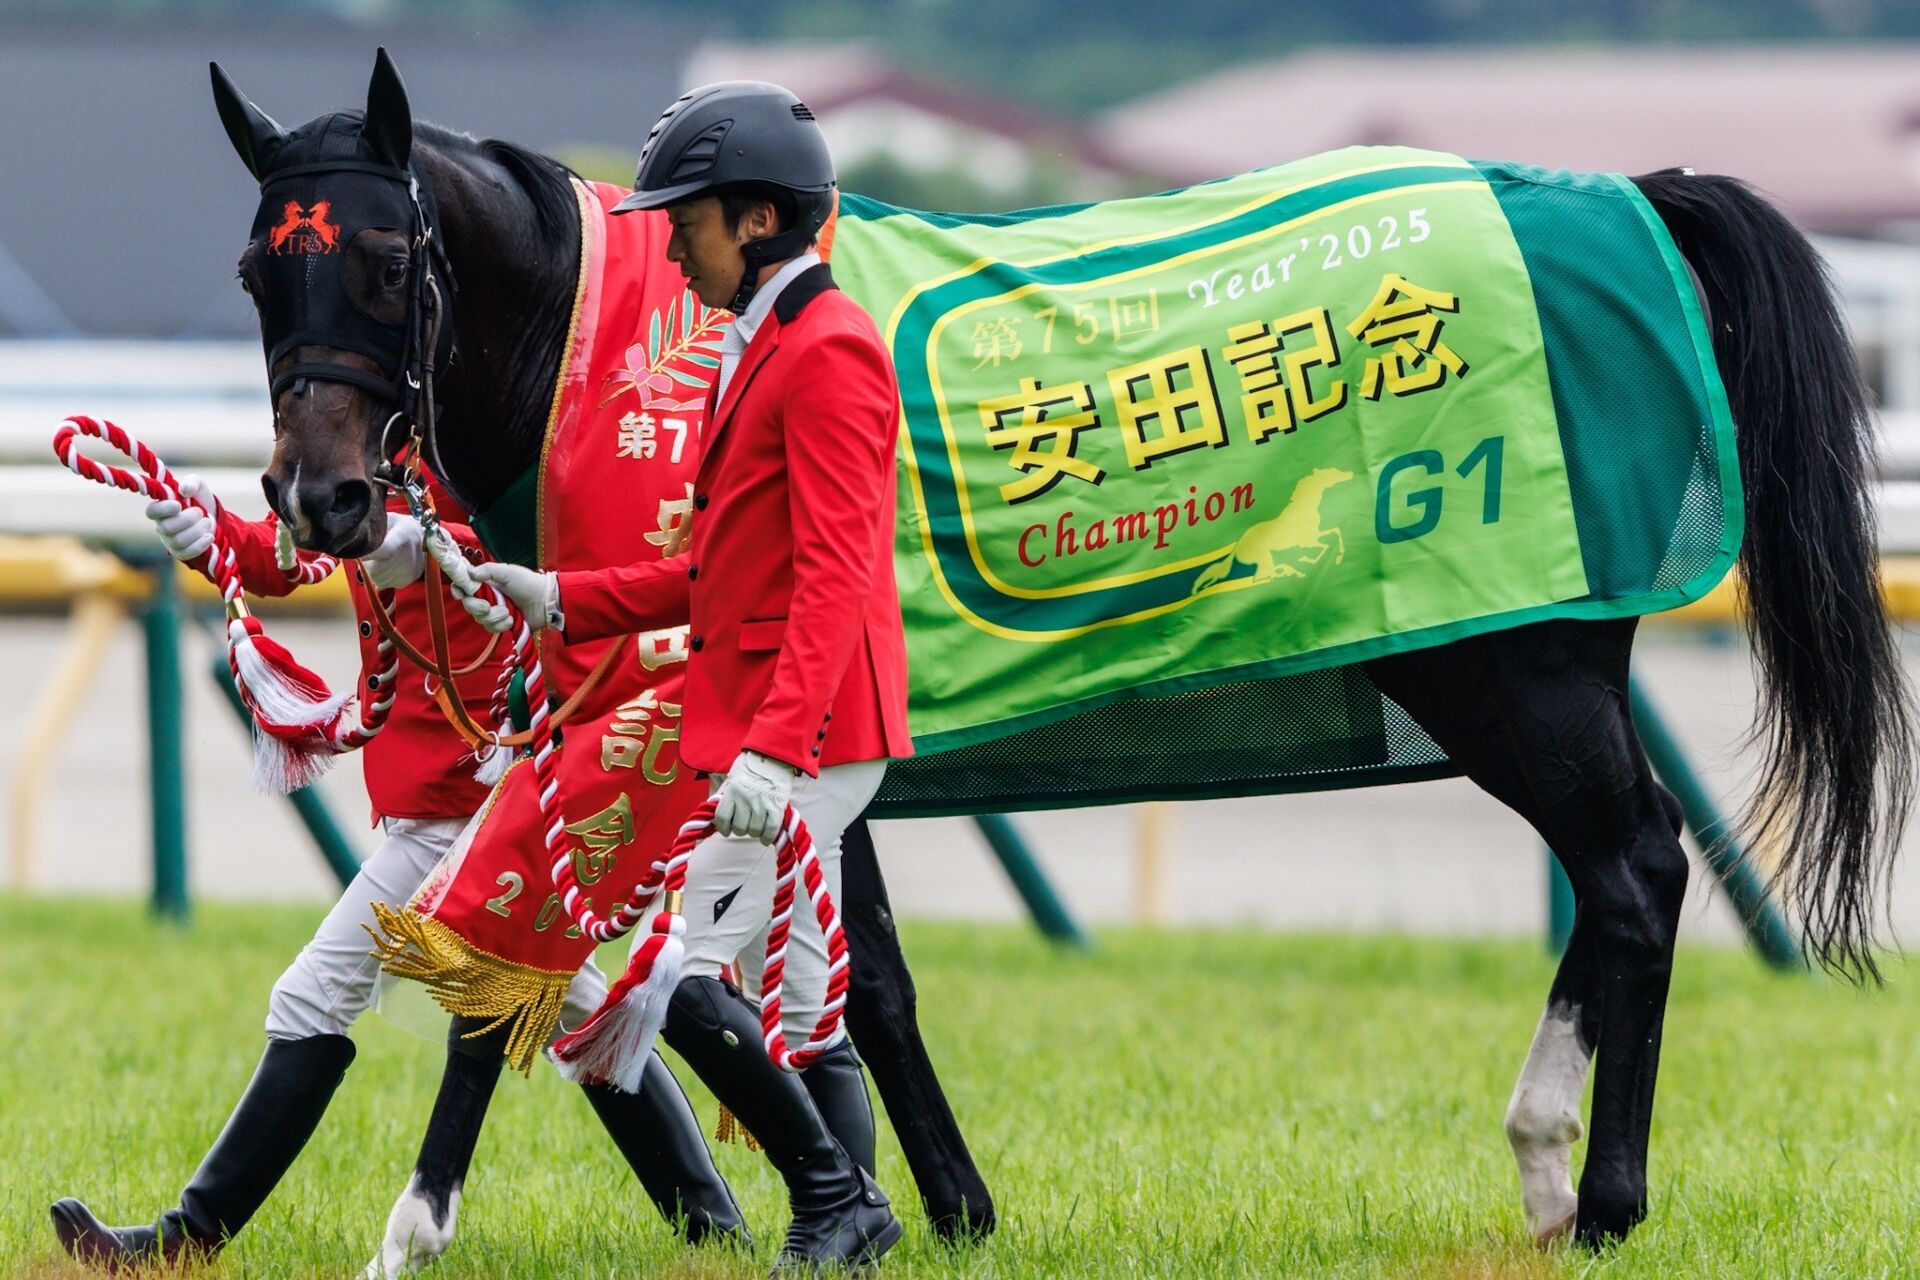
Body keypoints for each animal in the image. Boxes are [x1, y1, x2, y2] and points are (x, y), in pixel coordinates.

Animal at [215, 51, 1911, 1256]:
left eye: (388, 260)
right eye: (258, 273)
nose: (327, 497)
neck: (639, 362)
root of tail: (1622, 193)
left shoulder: (704, 723)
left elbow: (638, 969)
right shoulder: (791, 746)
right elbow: (851, 980)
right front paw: (929, 1204)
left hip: (1510, 662)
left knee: (1633, 864)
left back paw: (1602, 1192)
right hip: (1516, 660)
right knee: (1623, 866)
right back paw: (1550, 1164)